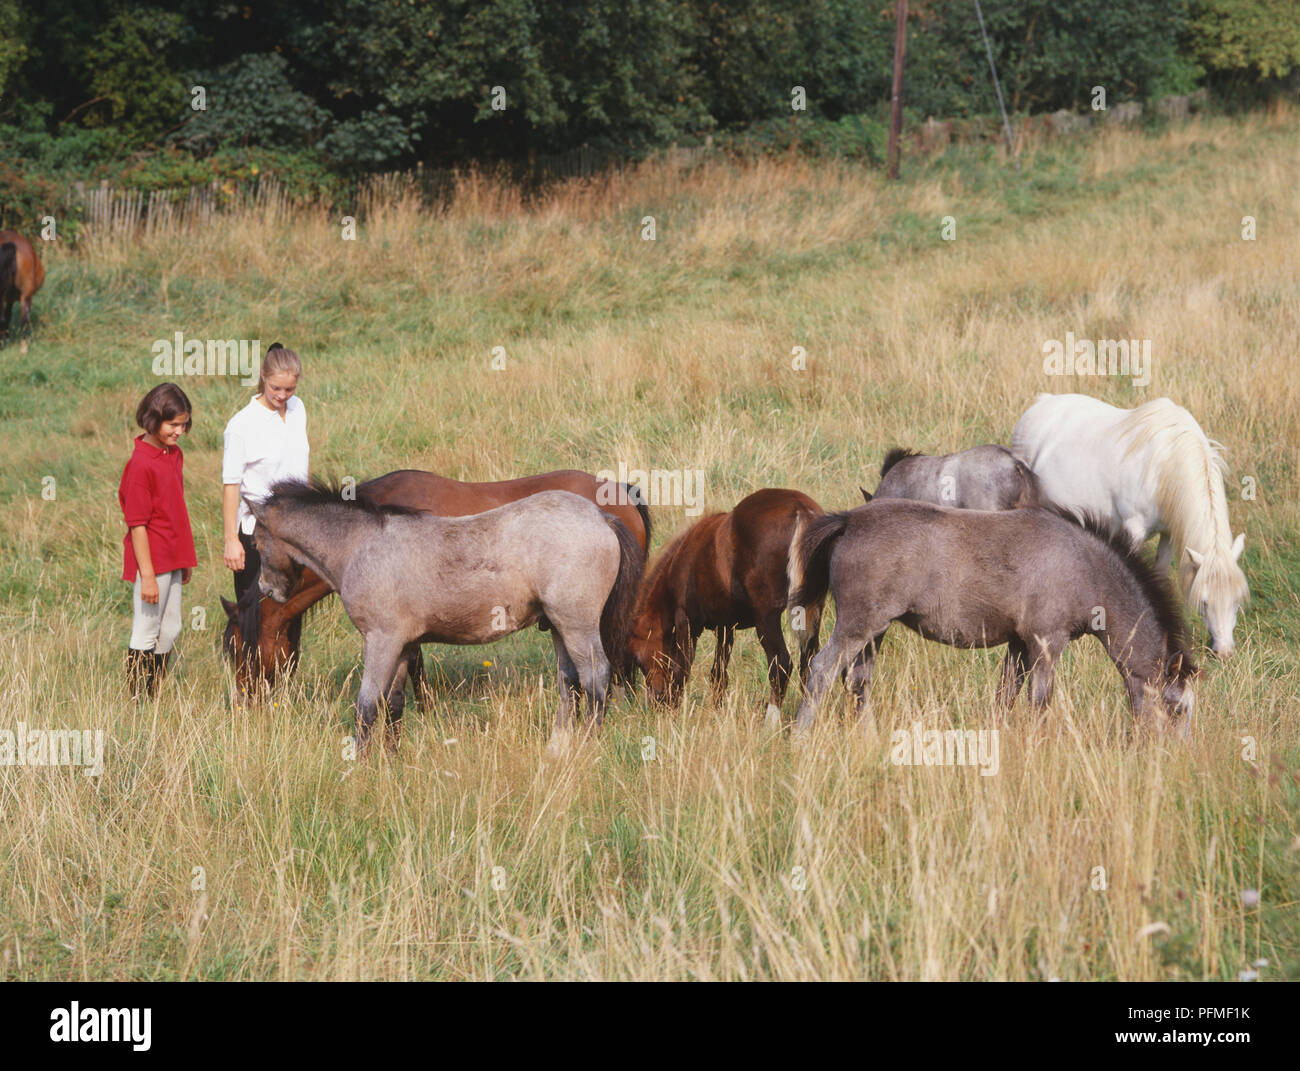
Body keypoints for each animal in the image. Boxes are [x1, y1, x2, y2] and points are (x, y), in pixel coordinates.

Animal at [252, 480, 644, 753]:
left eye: (256, 541)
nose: (267, 589)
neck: (361, 546)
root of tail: (602, 517)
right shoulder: (405, 644)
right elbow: (394, 704)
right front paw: (391, 761)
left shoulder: (381, 640)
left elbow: (366, 705)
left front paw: (358, 766)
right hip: (560, 628)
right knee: (569, 682)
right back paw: (557, 748)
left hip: (577, 624)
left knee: (596, 677)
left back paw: (587, 745)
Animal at [629, 488, 824, 721]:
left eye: (638, 660)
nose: (657, 701)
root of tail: (801, 510)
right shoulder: (725, 627)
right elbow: (719, 674)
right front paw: (718, 712)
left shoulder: (687, 621)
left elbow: (681, 670)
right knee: (809, 661)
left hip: (766, 617)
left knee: (781, 664)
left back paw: (771, 722)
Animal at [786, 500, 1199, 738]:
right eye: (1178, 709)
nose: (1175, 760)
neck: (1084, 566)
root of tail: (849, 521)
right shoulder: (1047, 642)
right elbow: (1039, 701)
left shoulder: (1019, 644)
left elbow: (1006, 697)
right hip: (857, 628)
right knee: (821, 669)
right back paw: (800, 738)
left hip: (874, 632)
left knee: (858, 682)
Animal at [1012, 393, 1248, 657]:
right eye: (1204, 602)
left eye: (1237, 600)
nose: (1225, 652)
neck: (1166, 462)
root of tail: (1041, 403)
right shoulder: (1134, 529)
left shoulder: (1168, 534)